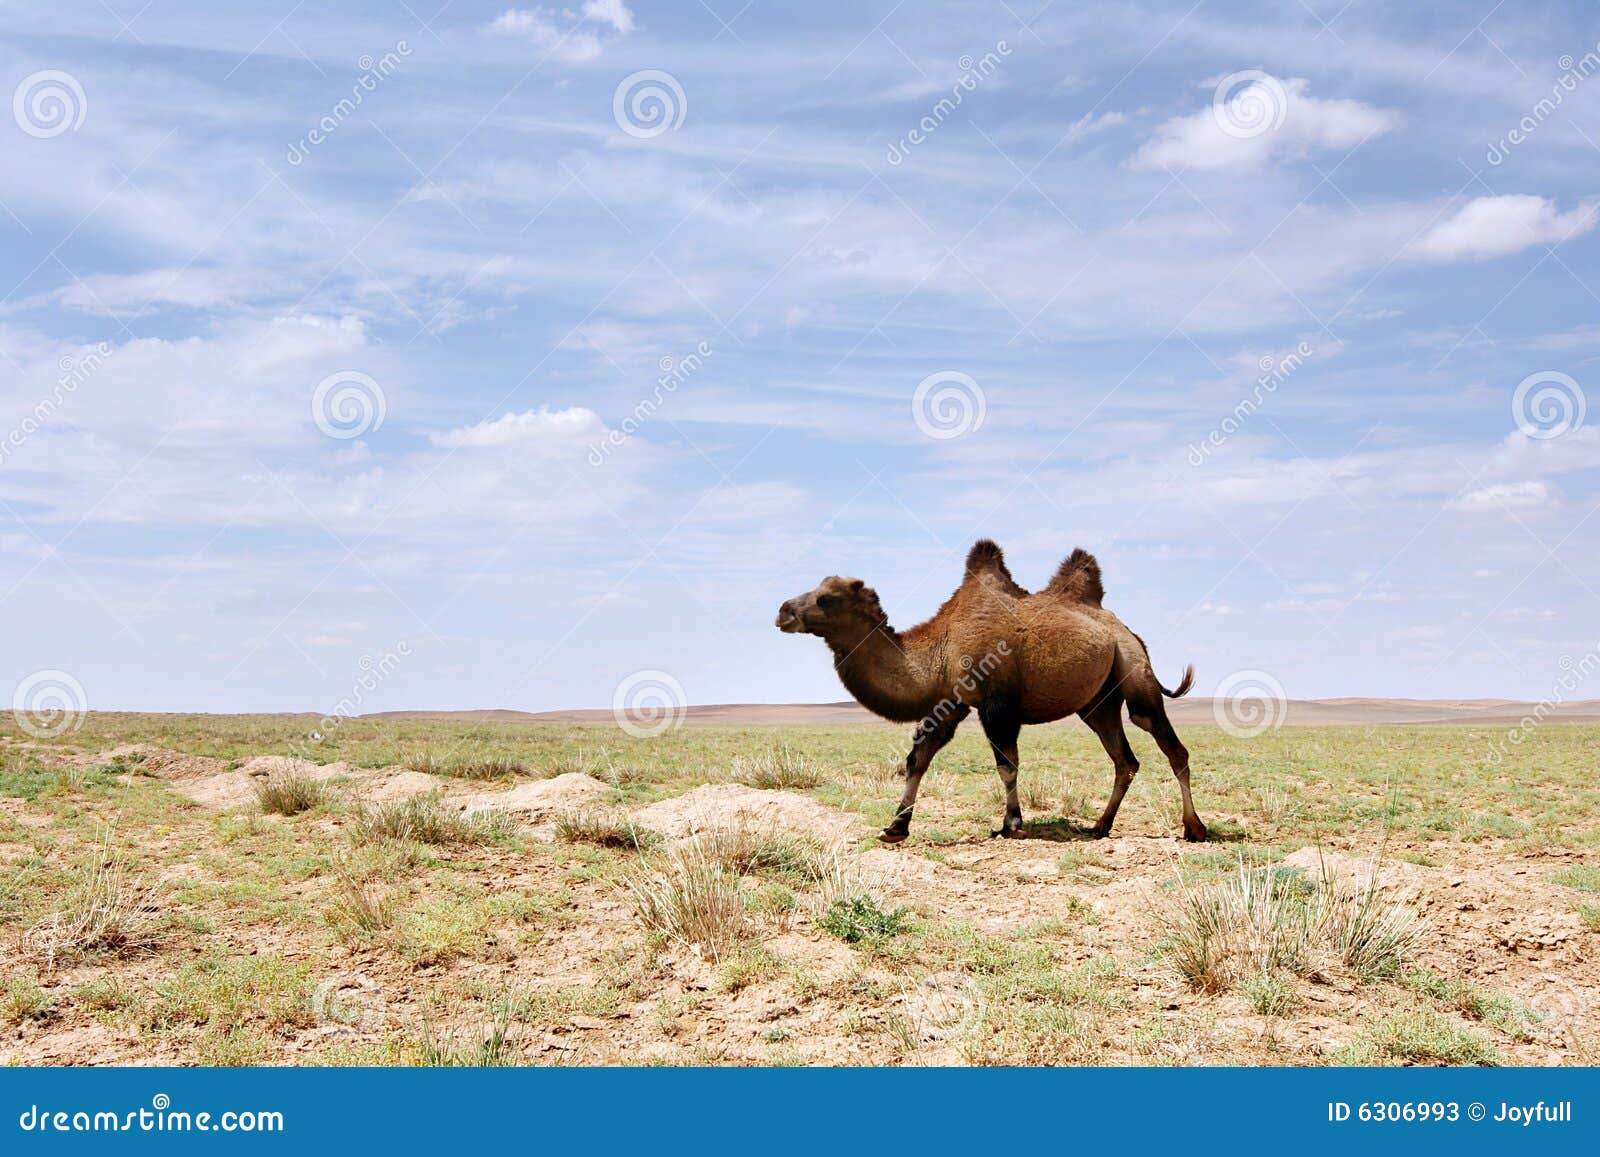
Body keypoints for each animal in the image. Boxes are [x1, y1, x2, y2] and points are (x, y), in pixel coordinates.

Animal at [775, 540, 1206, 843]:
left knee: (1164, 739)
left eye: (826, 599)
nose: (782, 611)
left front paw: (1011, 823)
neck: (939, 646)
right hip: (1097, 703)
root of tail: (1125, 629)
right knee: (1124, 759)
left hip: (1134, 667)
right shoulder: (951, 701)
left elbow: (1006, 763)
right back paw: (1100, 826)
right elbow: (919, 757)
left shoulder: (995, 704)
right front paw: (895, 827)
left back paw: (1194, 829)